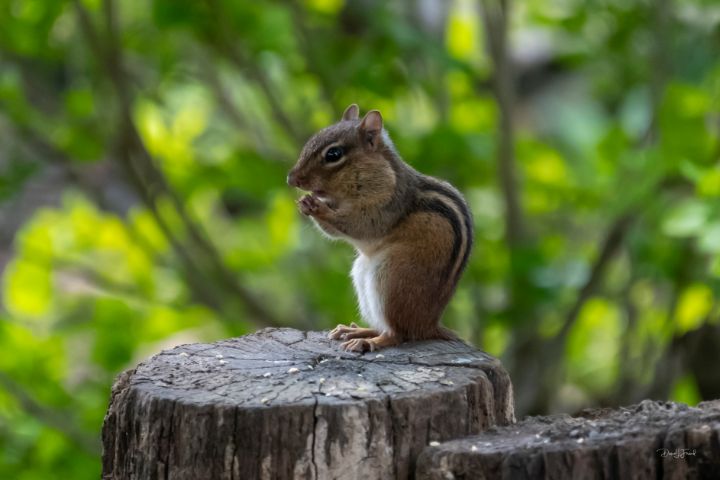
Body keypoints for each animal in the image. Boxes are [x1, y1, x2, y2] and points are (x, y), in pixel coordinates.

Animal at [287, 104, 473, 352]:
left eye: (333, 154)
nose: (291, 179)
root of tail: (429, 325)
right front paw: (306, 203)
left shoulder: (386, 206)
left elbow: (361, 225)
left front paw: (318, 208)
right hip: (363, 274)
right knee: (386, 328)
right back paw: (356, 331)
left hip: (391, 278)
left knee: (397, 334)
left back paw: (367, 341)